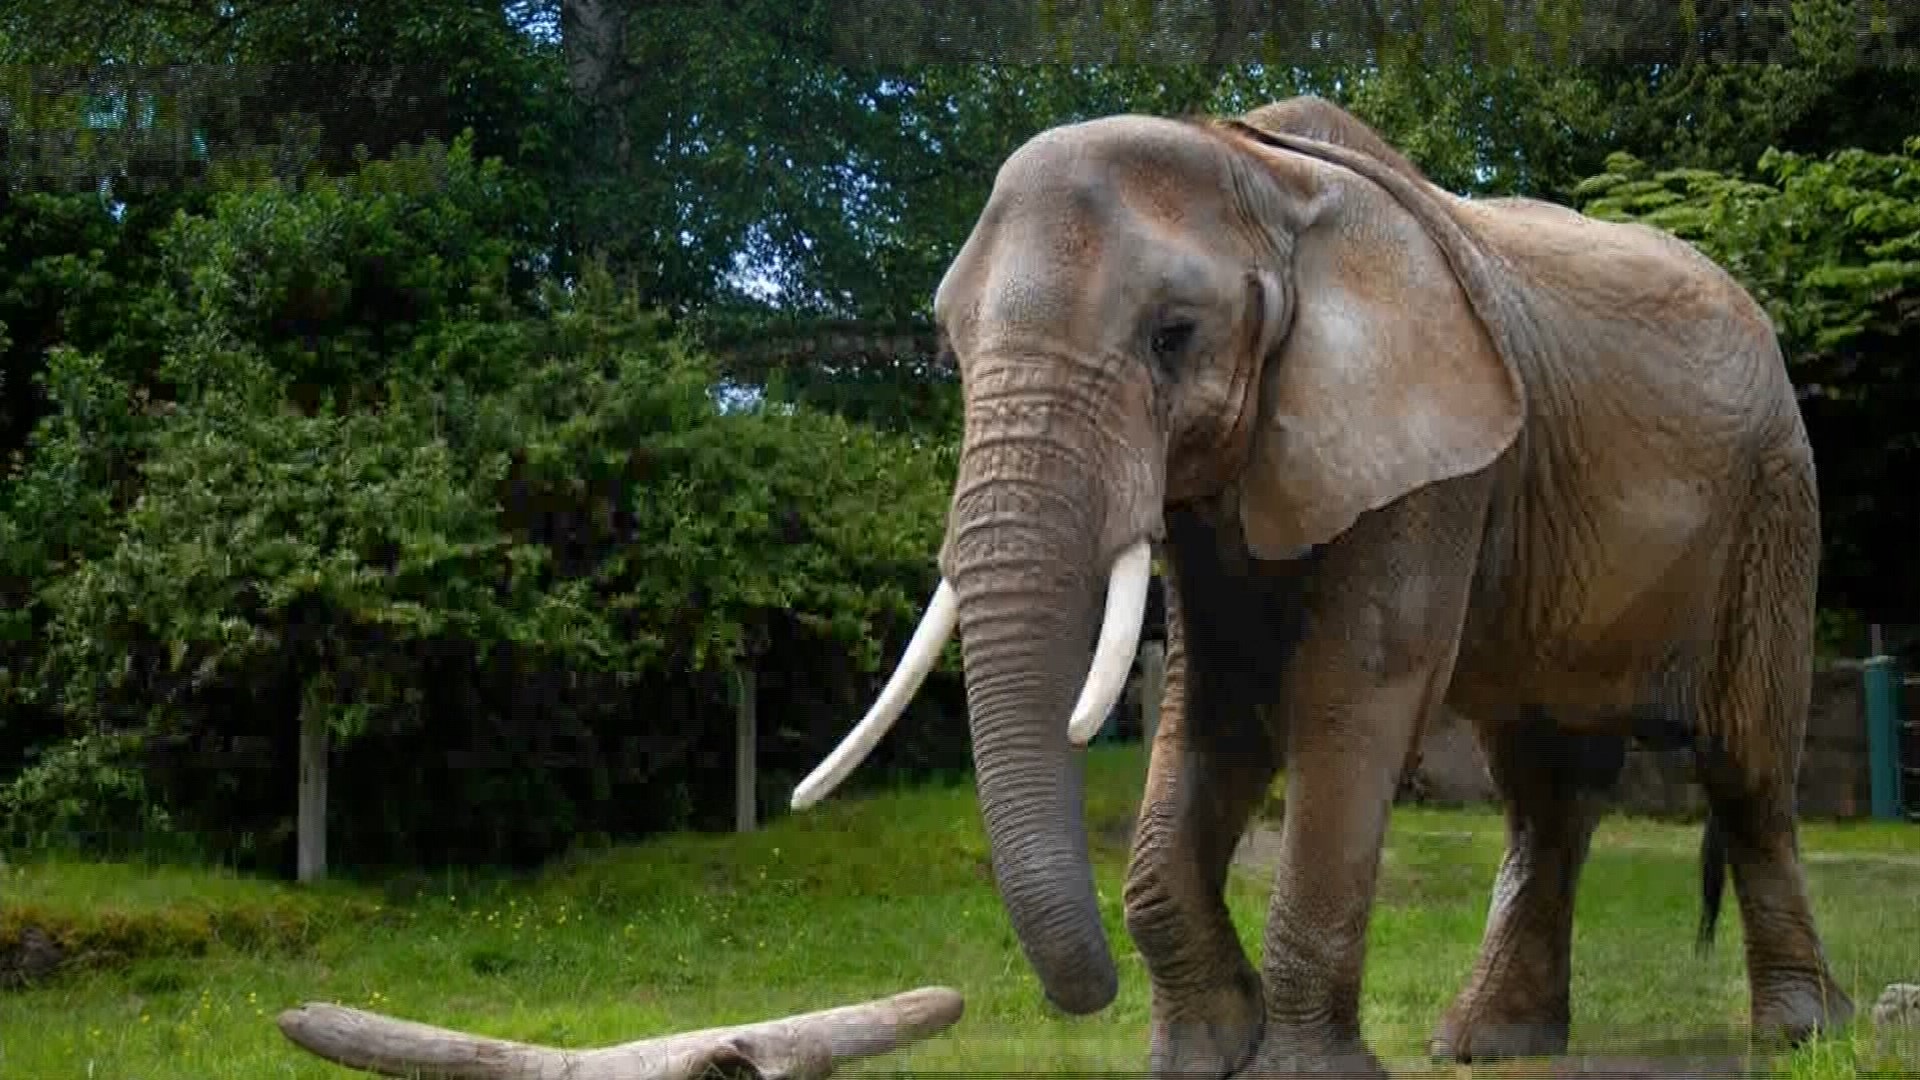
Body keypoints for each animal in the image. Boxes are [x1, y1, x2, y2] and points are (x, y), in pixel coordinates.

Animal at [790, 95, 1855, 1077]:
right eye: (950, 349)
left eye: (1172, 336)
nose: (1087, 999)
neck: (1261, 174)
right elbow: (1217, 701)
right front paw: (1207, 1055)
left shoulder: (1432, 457)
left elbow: (1354, 695)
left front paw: (1294, 1066)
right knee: (1546, 791)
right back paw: (1488, 1043)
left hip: (1775, 500)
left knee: (1748, 767)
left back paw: (1799, 1033)